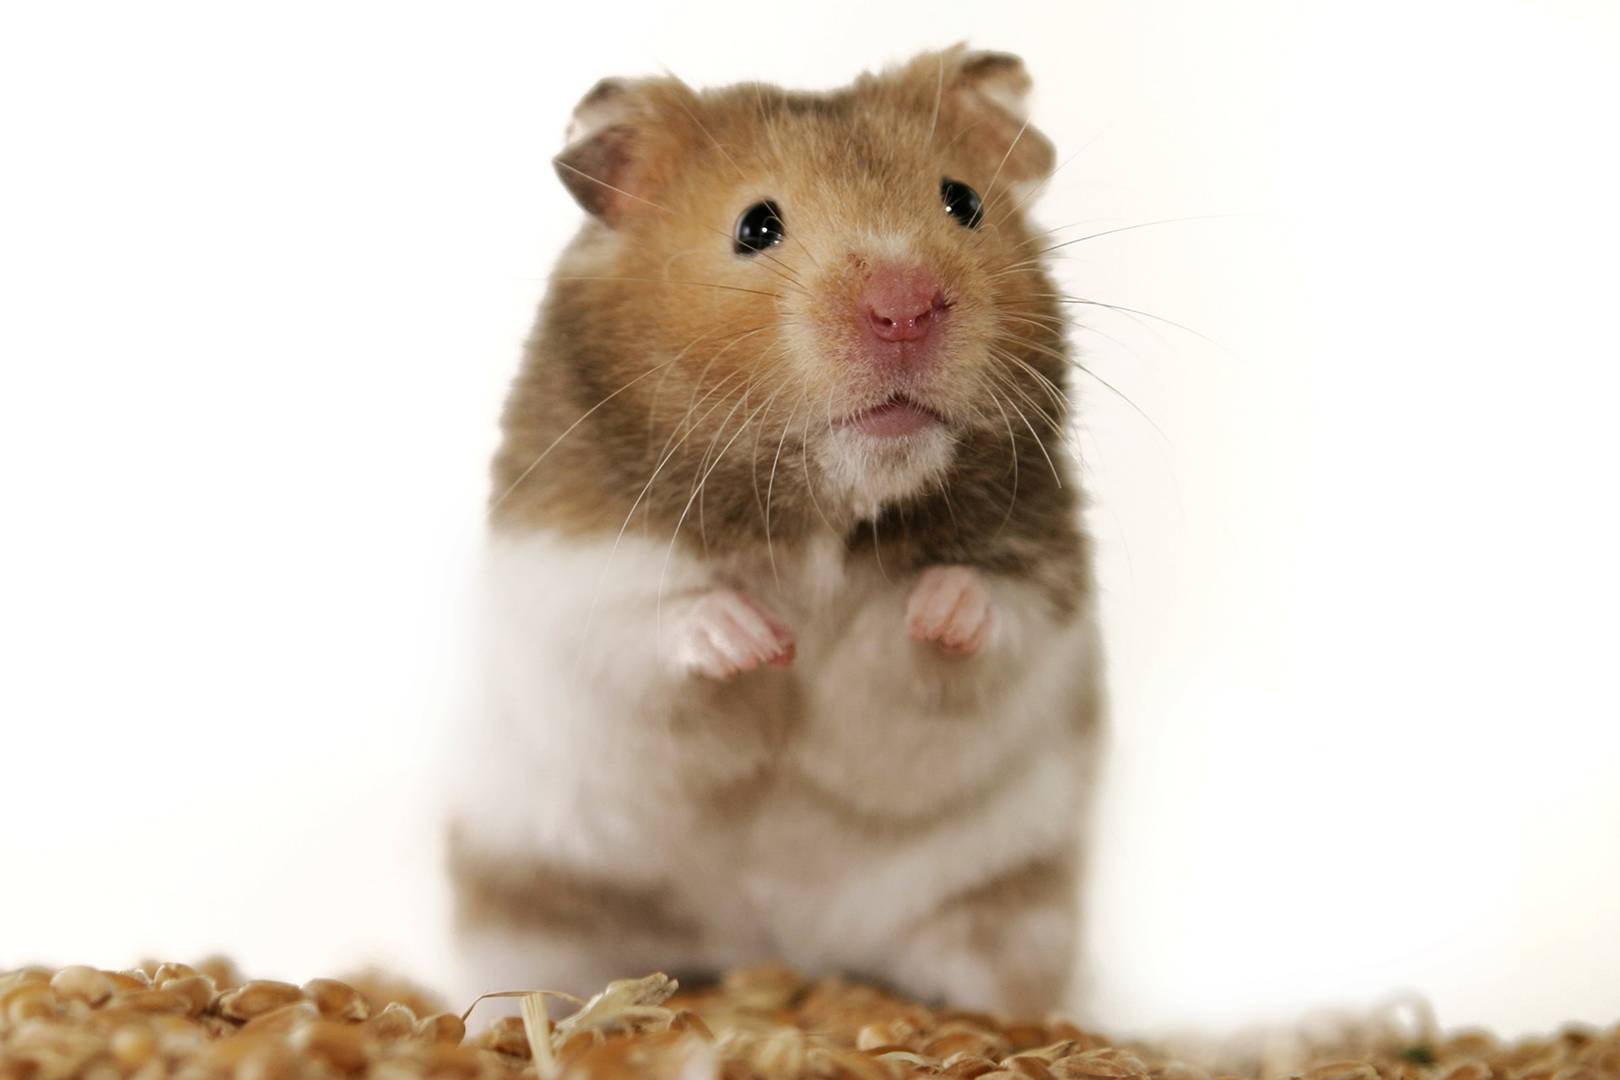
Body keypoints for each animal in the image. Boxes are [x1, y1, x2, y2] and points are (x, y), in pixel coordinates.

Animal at [446, 46, 1103, 1016]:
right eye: (756, 227)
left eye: (963, 202)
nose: (906, 307)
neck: (823, 513)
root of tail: (774, 948)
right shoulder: (568, 574)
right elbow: (649, 623)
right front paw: (756, 640)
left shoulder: (1041, 595)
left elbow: (980, 624)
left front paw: (933, 609)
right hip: (530, 911)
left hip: (1012, 913)